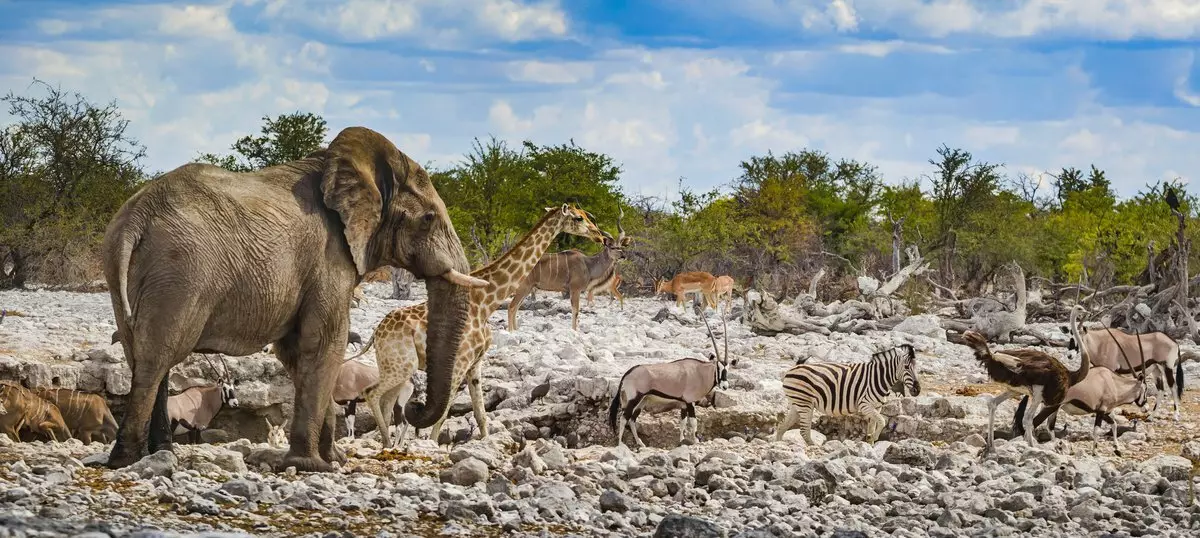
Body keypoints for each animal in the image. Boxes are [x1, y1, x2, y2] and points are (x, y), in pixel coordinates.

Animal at [98, 126, 482, 470]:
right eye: (428, 218)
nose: (414, 407)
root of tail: (136, 217)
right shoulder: (329, 257)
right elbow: (324, 344)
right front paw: (314, 465)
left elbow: (298, 353)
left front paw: (333, 460)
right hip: (182, 272)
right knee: (158, 357)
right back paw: (127, 460)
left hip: (126, 270)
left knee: (141, 353)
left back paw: (159, 454)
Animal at [352, 204, 604, 446]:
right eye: (579, 218)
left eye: (587, 215)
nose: (599, 235)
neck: (485, 303)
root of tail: (376, 334)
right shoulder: (459, 362)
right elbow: (443, 414)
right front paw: (432, 445)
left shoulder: (475, 363)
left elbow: (481, 414)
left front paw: (486, 443)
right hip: (401, 365)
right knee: (371, 393)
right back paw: (387, 442)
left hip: (398, 366)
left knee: (385, 401)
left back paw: (386, 444)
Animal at [609, 305, 729, 446]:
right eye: (718, 368)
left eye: (727, 368)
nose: (725, 386)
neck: (700, 372)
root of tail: (628, 373)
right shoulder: (690, 402)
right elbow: (693, 422)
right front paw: (695, 441)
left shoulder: (684, 404)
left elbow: (682, 422)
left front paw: (681, 440)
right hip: (634, 398)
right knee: (624, 418)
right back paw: (620, 444)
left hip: (642, 401)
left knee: (632, 419)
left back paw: (640, 443)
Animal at [772, 345, 921, 446]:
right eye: (906, 367)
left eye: (917, 367)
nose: (918, 390)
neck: (879, 378)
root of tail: (791, 369)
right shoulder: (865, 405)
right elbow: (882, 421)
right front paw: (873, 438)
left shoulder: (876, 407)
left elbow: (874, 425)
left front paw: (870, 442)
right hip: (805, 404)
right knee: (803, 430)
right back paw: (813, 446)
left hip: (797, 403)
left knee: (782, 427)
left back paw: (778, 446)